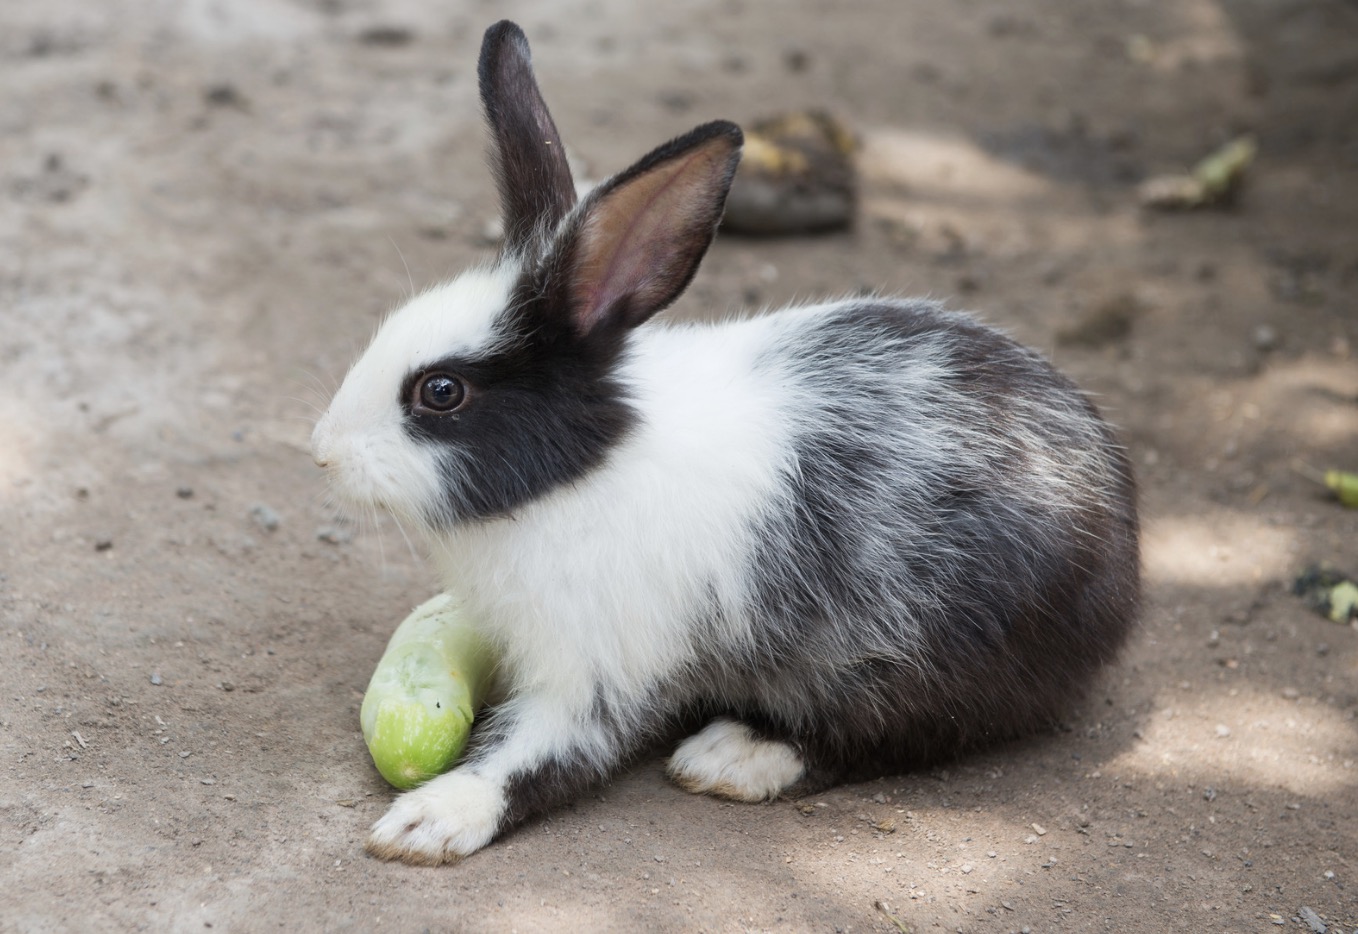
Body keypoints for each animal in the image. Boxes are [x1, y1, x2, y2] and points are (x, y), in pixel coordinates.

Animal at [310, 20, 1140, 866]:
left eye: (441, 392)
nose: (323, 451)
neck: (584, 473)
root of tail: (1121, 540)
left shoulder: (596, 666)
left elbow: (542, 756)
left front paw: (430, 820)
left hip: (927, 660)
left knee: (890, 736)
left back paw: (734, 755)